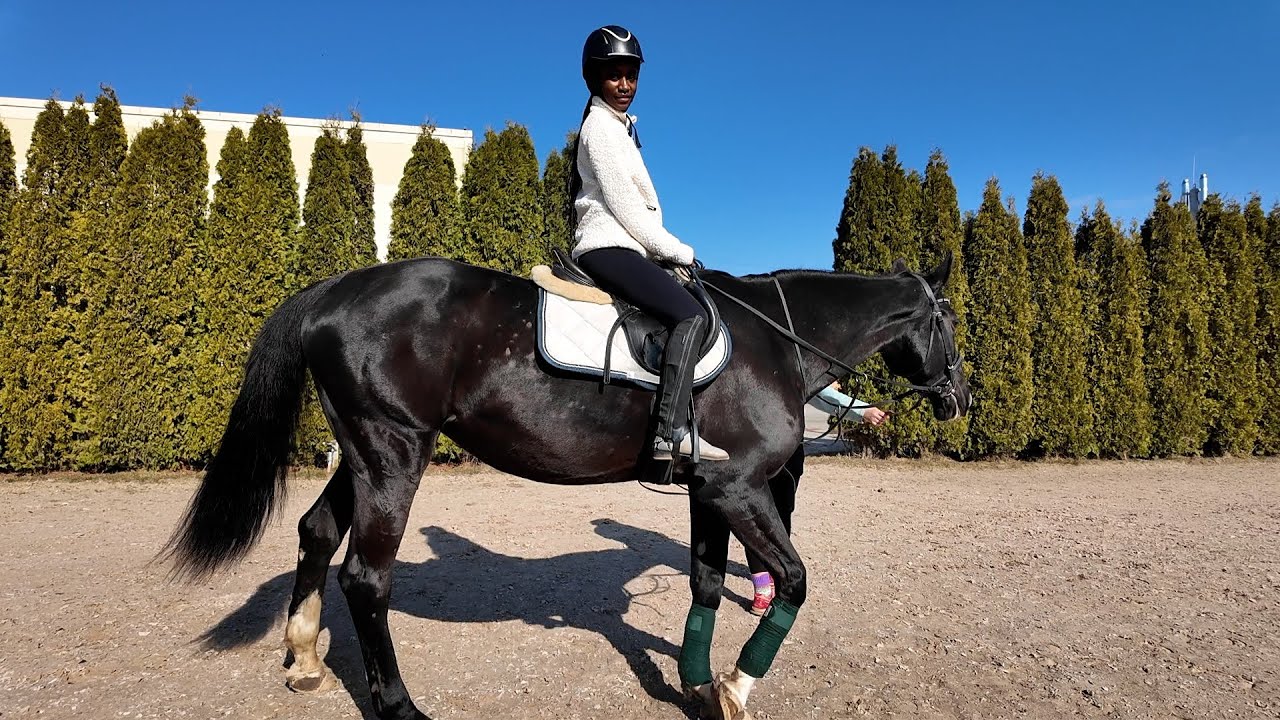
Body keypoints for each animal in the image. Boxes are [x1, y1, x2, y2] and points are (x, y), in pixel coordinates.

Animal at [164, 252, 970, 720]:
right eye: (950, 322)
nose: (959, 399)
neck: (774, 338)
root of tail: (336, 286)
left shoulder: (709, 490)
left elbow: (708, 585)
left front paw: (697, 687)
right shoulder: (740, 487)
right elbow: (795, 580)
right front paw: (736, 689)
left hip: (365, 454)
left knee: (318, 534)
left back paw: (305, 661)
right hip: (394, 451)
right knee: (366, 576)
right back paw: (399, 708)